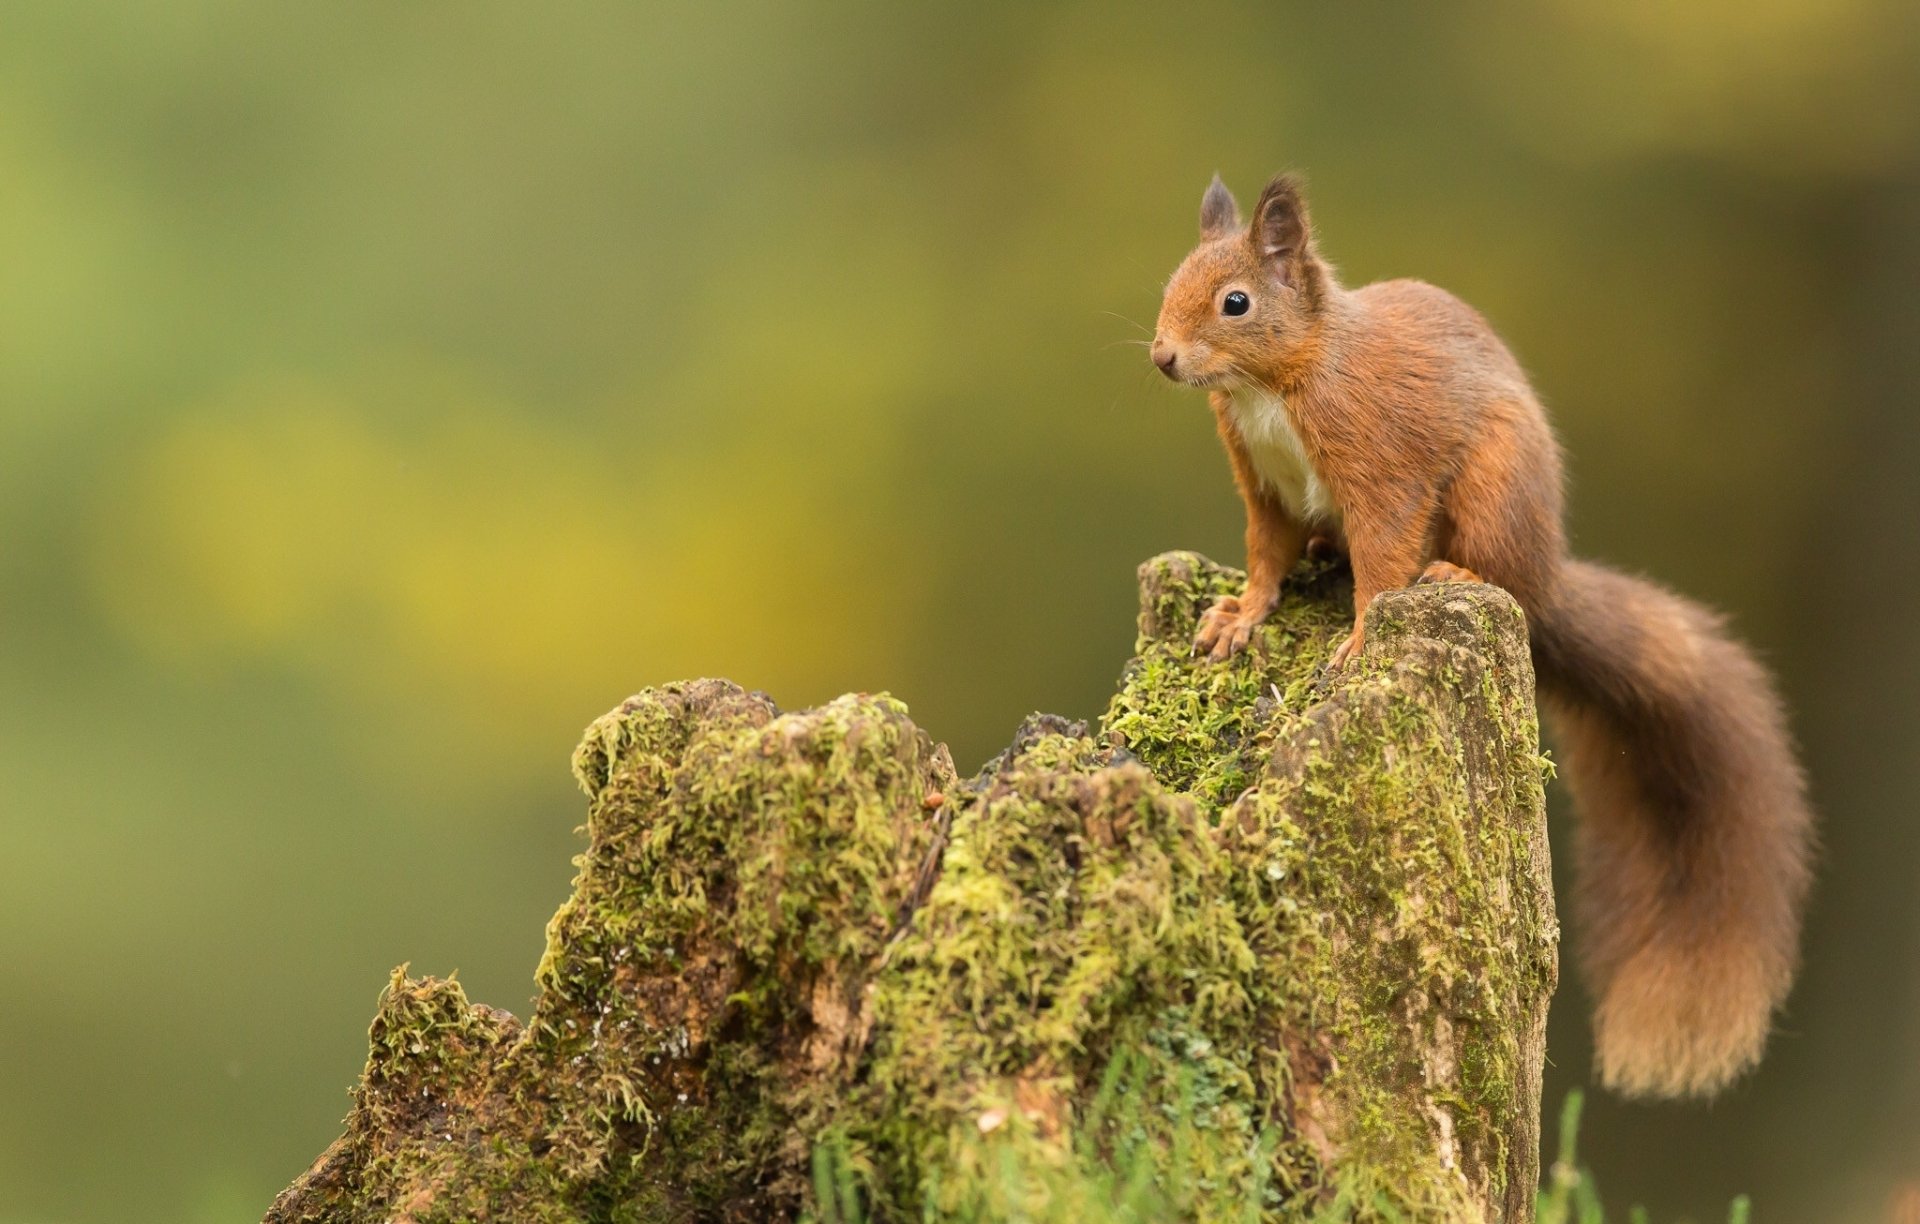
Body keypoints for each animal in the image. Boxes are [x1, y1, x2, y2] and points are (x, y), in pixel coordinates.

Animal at [1149, 172, 1813, 1100]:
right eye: (1172, 280)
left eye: (1235, 302)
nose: (1163, 358)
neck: (1276, 382)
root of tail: (1546, 572)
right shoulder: (1263, 484)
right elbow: (1263, 556)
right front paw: (1238, 617)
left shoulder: (1381, 466)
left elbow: (1383, 554)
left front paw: (1361, 635)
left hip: (1497, 488)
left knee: (1491, 571)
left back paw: (1456, 575)